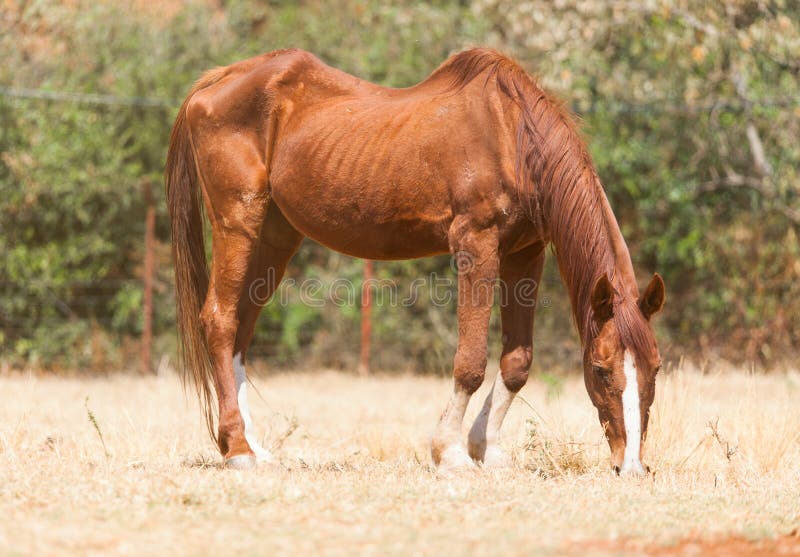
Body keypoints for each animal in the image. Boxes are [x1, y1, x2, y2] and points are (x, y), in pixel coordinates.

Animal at [165, 48, 665, 475]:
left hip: (273, 239)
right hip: (237, 224)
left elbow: (517, 361)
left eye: (656, 368)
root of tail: (217, 81)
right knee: (220, 320)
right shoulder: (476, 245)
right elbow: (470, 361)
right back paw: (238, 450)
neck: (514, 137)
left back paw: (254, 447)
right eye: (600, 369)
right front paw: (450, 452)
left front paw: (486, 448)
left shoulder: (526, 254)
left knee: (241, 330)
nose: (632, 466)